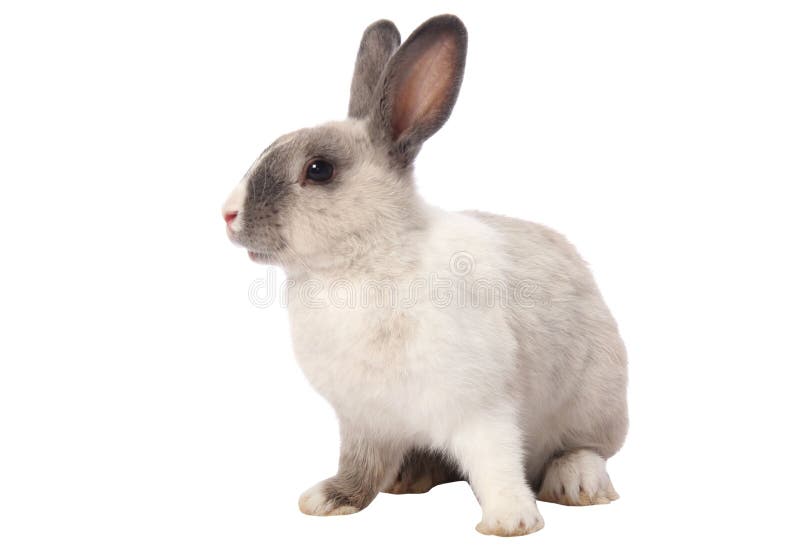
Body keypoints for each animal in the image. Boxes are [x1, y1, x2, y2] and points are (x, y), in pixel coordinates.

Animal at [222, 14, 627, 537]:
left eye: (319, 170)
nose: (227, 214)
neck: (362, 262)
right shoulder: (364, 420)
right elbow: (359, 465)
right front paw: (330, 500)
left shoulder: (482, 409)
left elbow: (495, 462)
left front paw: (510, 521)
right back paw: (410, 475)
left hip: (594, 401)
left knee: (585, 448)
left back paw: (575, 481)